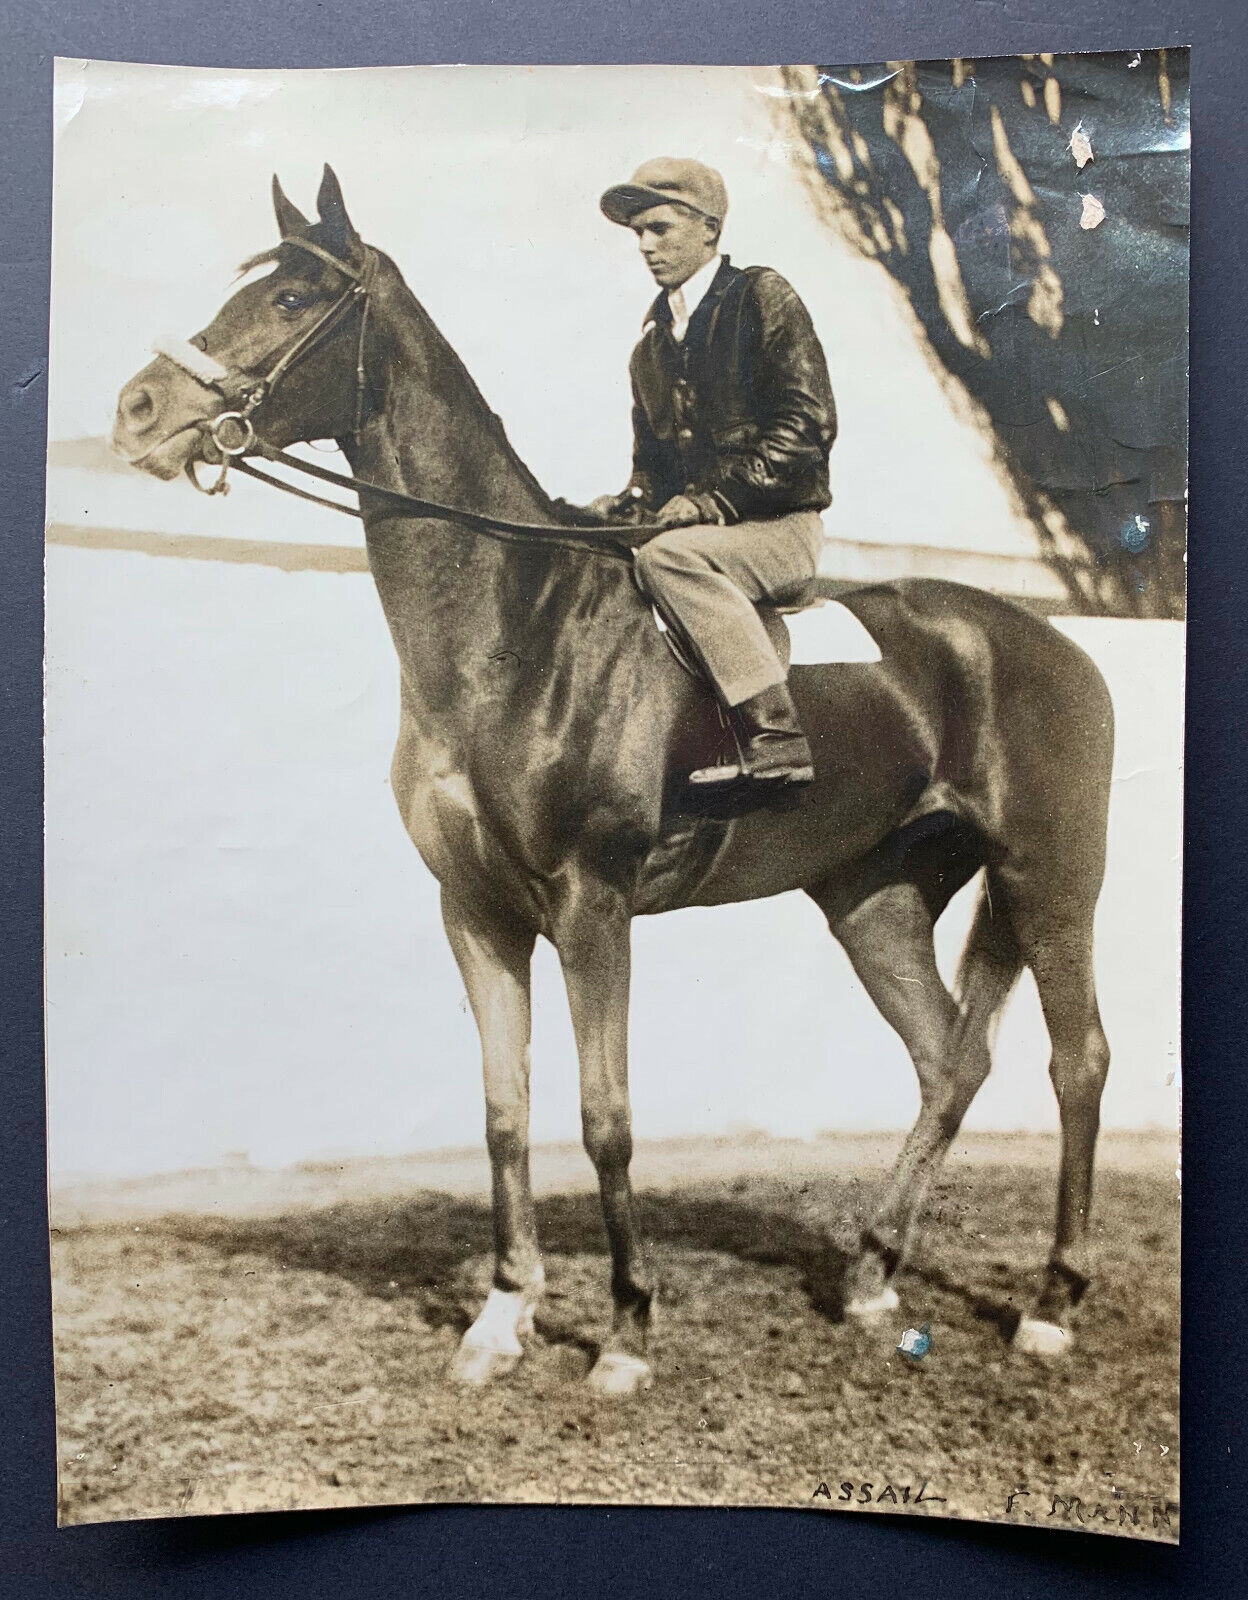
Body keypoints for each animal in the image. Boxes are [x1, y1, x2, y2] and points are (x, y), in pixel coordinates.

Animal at [112, 166, 1114, 1395]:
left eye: (296, 295)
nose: (137, 410)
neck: (515, 620)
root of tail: (1046, 644)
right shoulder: (476, 911)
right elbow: (505, 1111)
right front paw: (503, 1316)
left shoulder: (595, 909)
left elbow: (605, 1116)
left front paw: (629, 1330)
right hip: (873, 902)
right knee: (950, 1060)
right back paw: (873, 1273)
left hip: (1050, 883)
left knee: (1077, 1064)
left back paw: (1052, 1304)